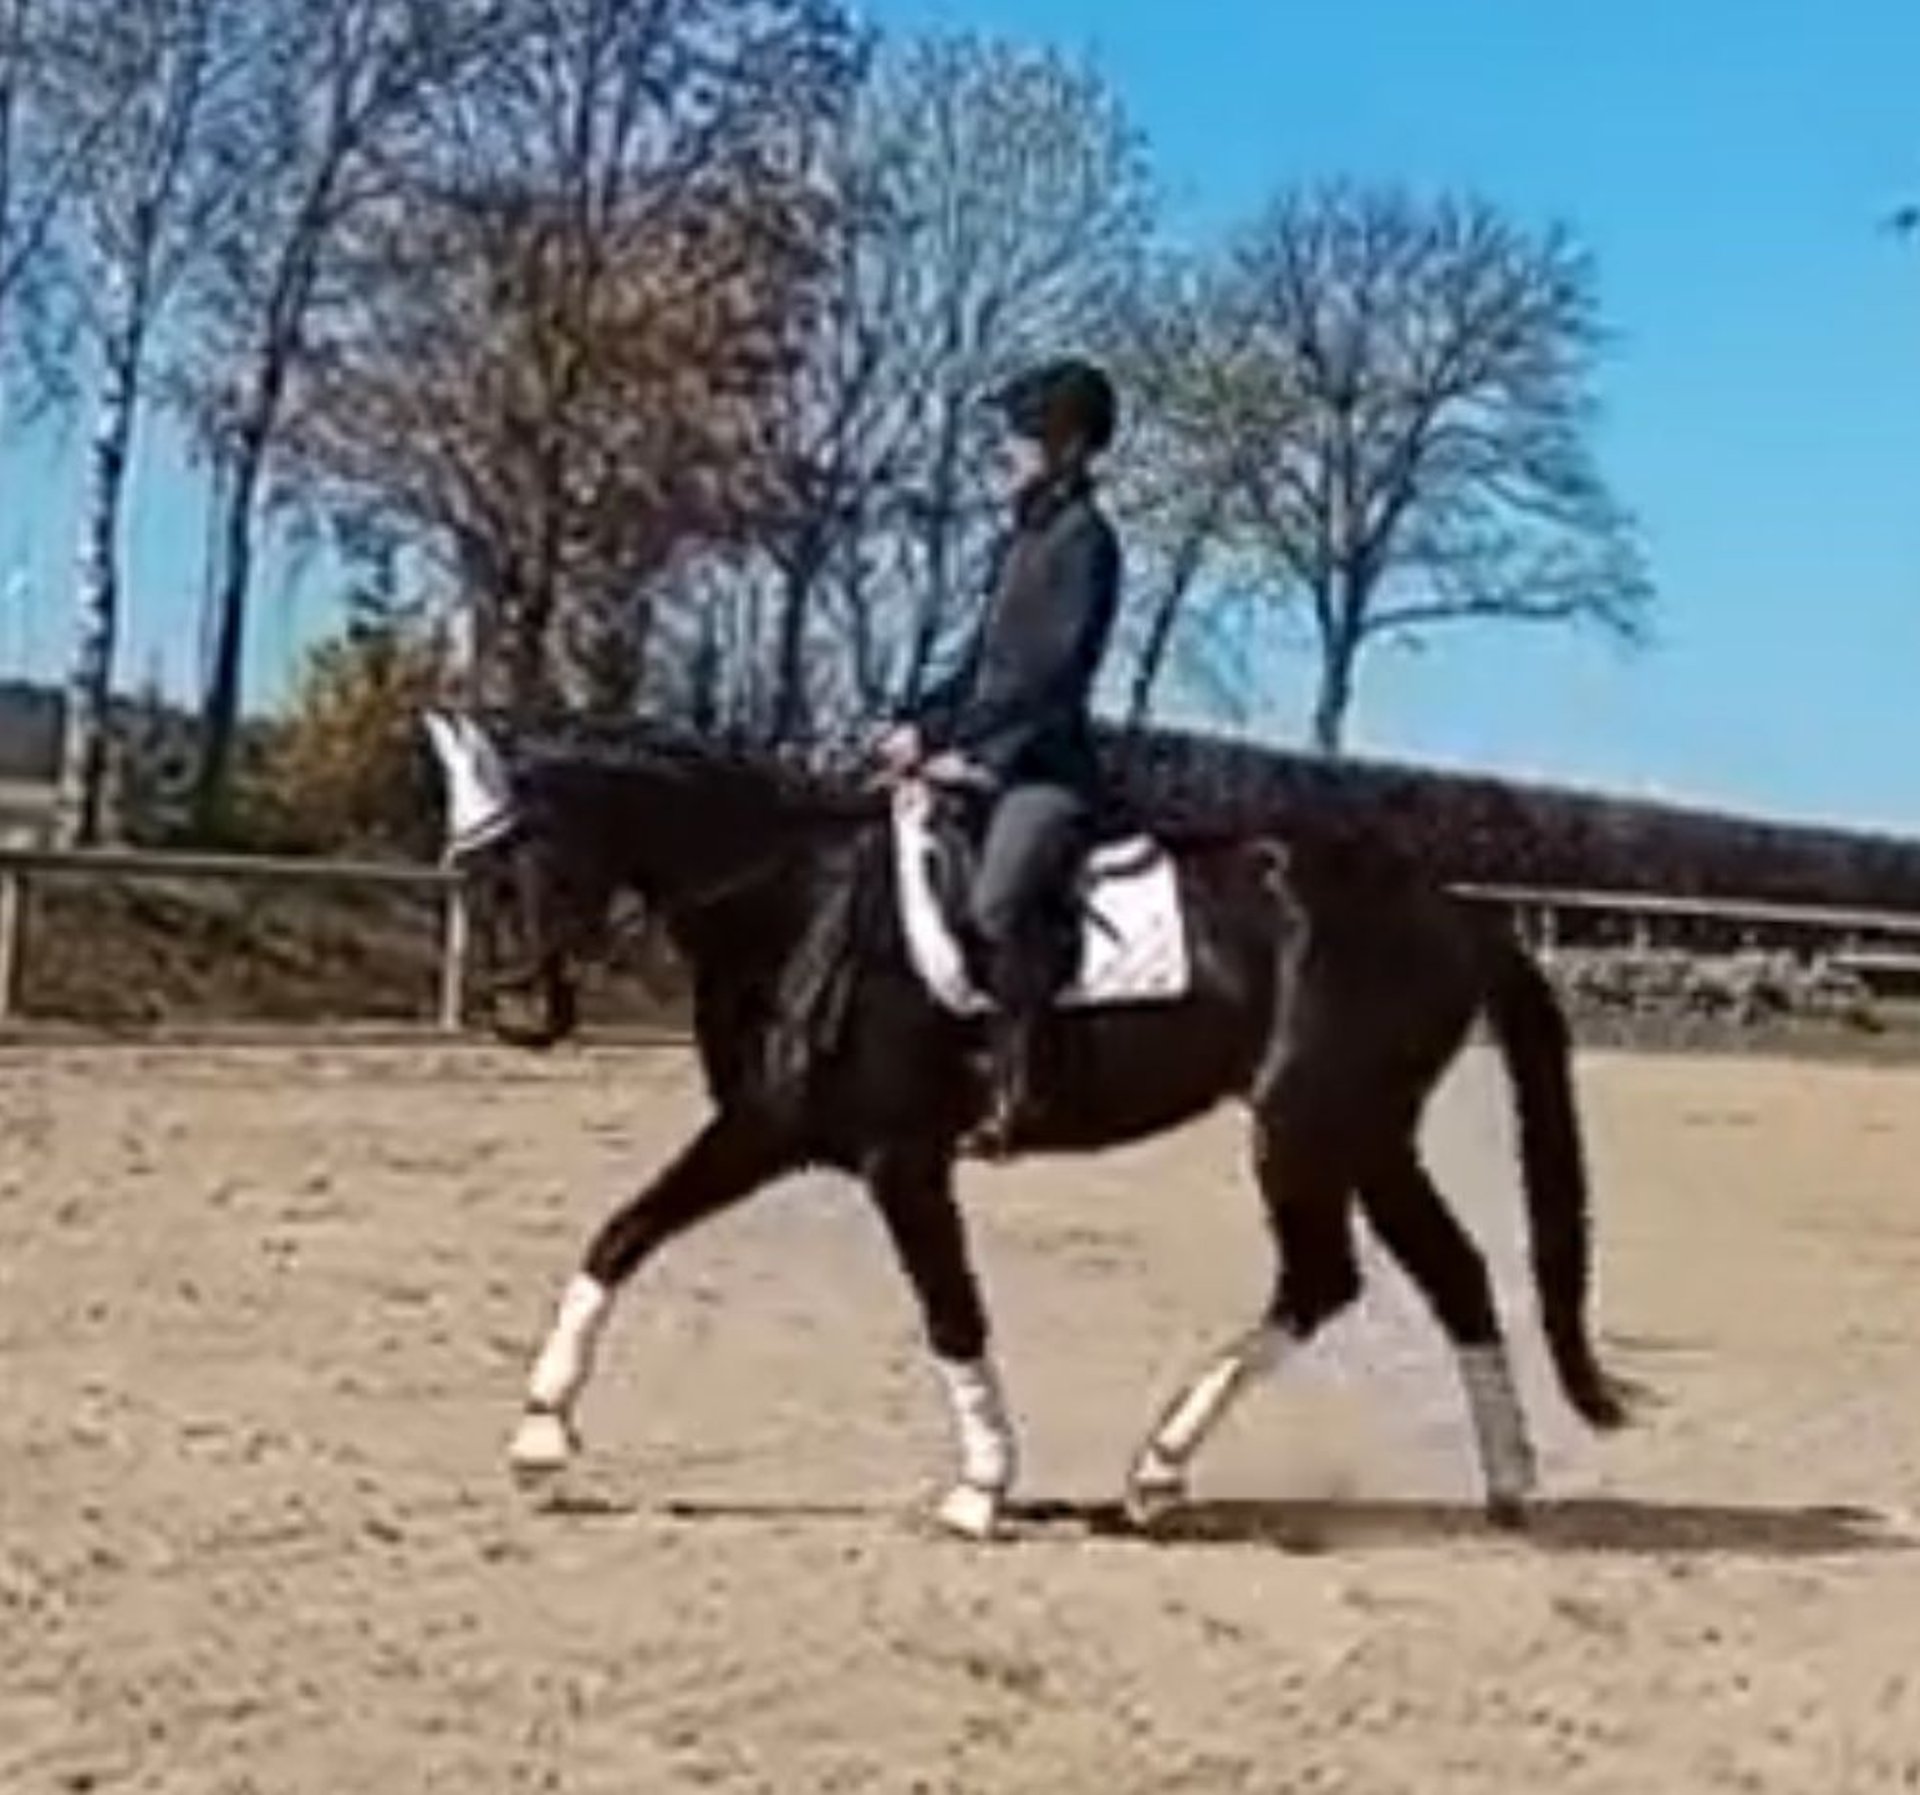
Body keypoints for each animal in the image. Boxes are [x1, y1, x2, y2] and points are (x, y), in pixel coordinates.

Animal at [421, 710, 1633, 1541]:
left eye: (518, 862)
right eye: (471, 871)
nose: (516, 1011)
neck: (796, 904)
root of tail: (1453, 911)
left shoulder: (898, 1159)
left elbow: (951, 1312)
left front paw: (981, 1486)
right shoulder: (766, 1129)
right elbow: (620, 1235)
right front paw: (539, 1436)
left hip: (1309, 1128)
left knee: (1328, 1278)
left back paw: (1162, 1470)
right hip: (1365, 1137)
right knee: (1446, 1274)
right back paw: (1503, 1483)